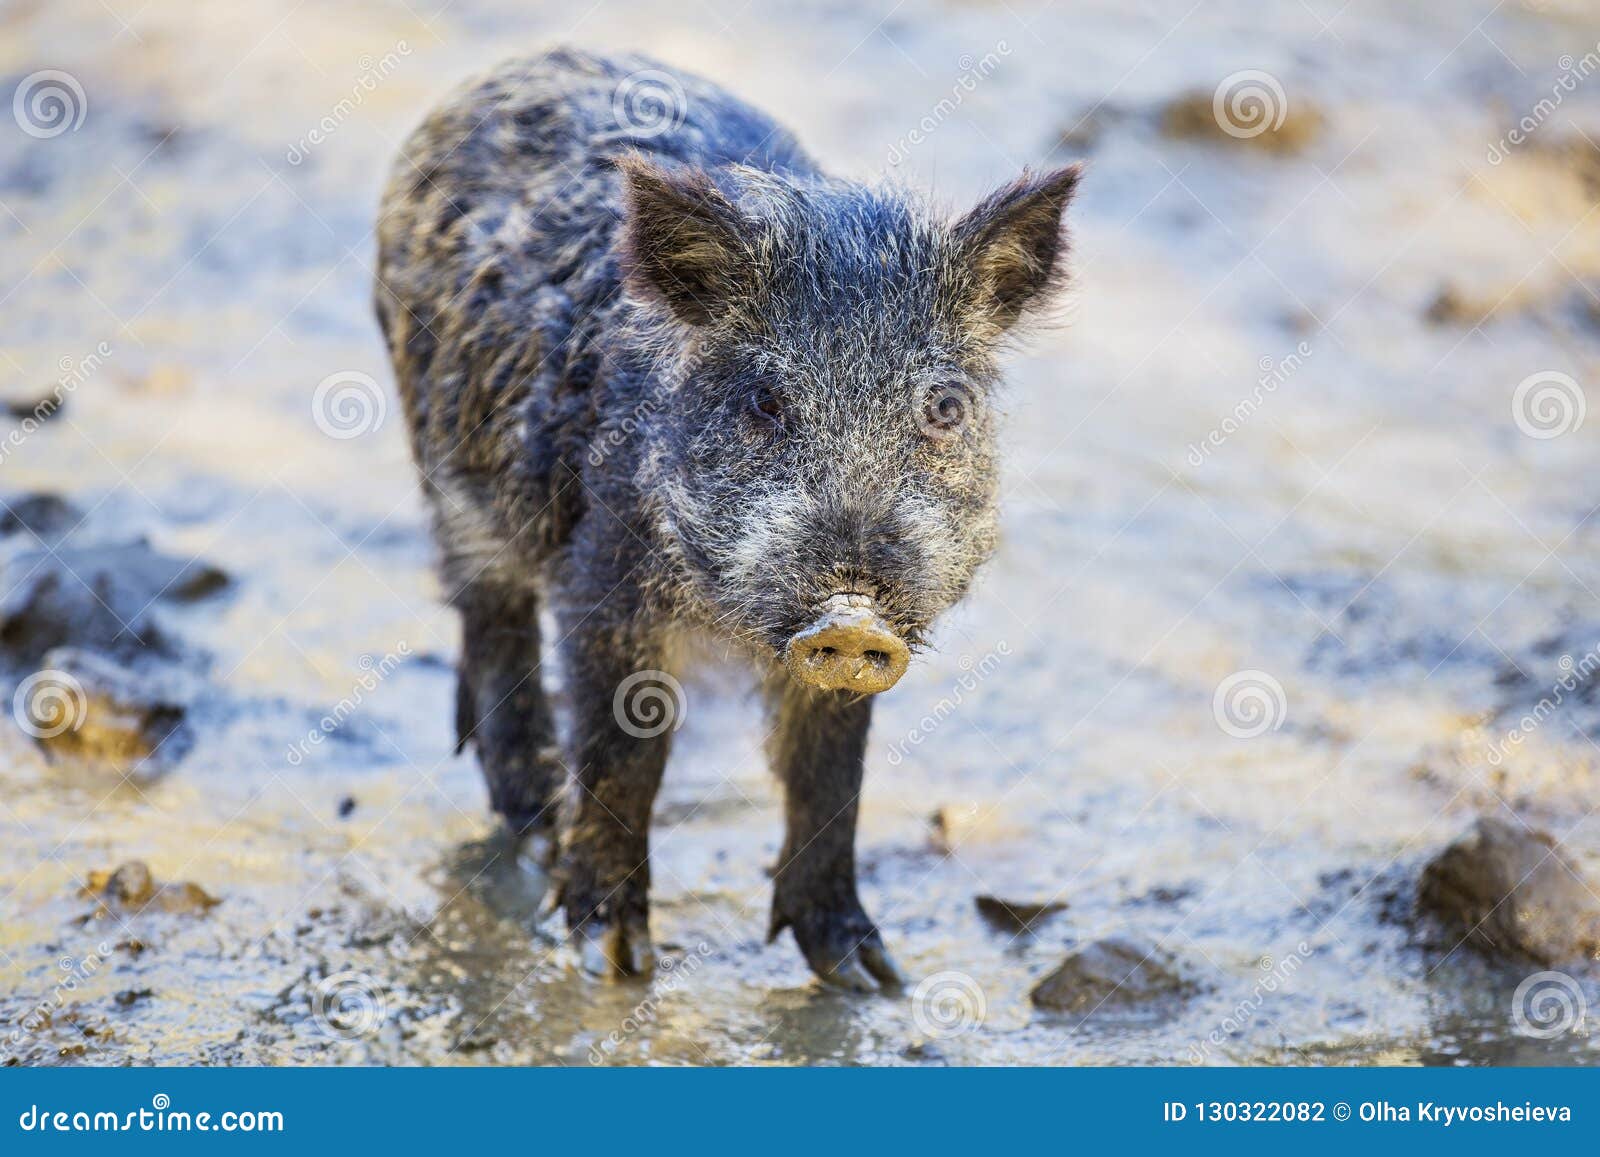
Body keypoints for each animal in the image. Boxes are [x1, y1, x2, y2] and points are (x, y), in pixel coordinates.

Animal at [375, 47, 1079, 990]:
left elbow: (831, 771)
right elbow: (627, 753)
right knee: (492, 625)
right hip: (453, 479)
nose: (851, 614)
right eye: (766, 400)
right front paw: (611, 958)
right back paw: (535, 824)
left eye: (942, 406)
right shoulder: (602, 577)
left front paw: (869, 974)